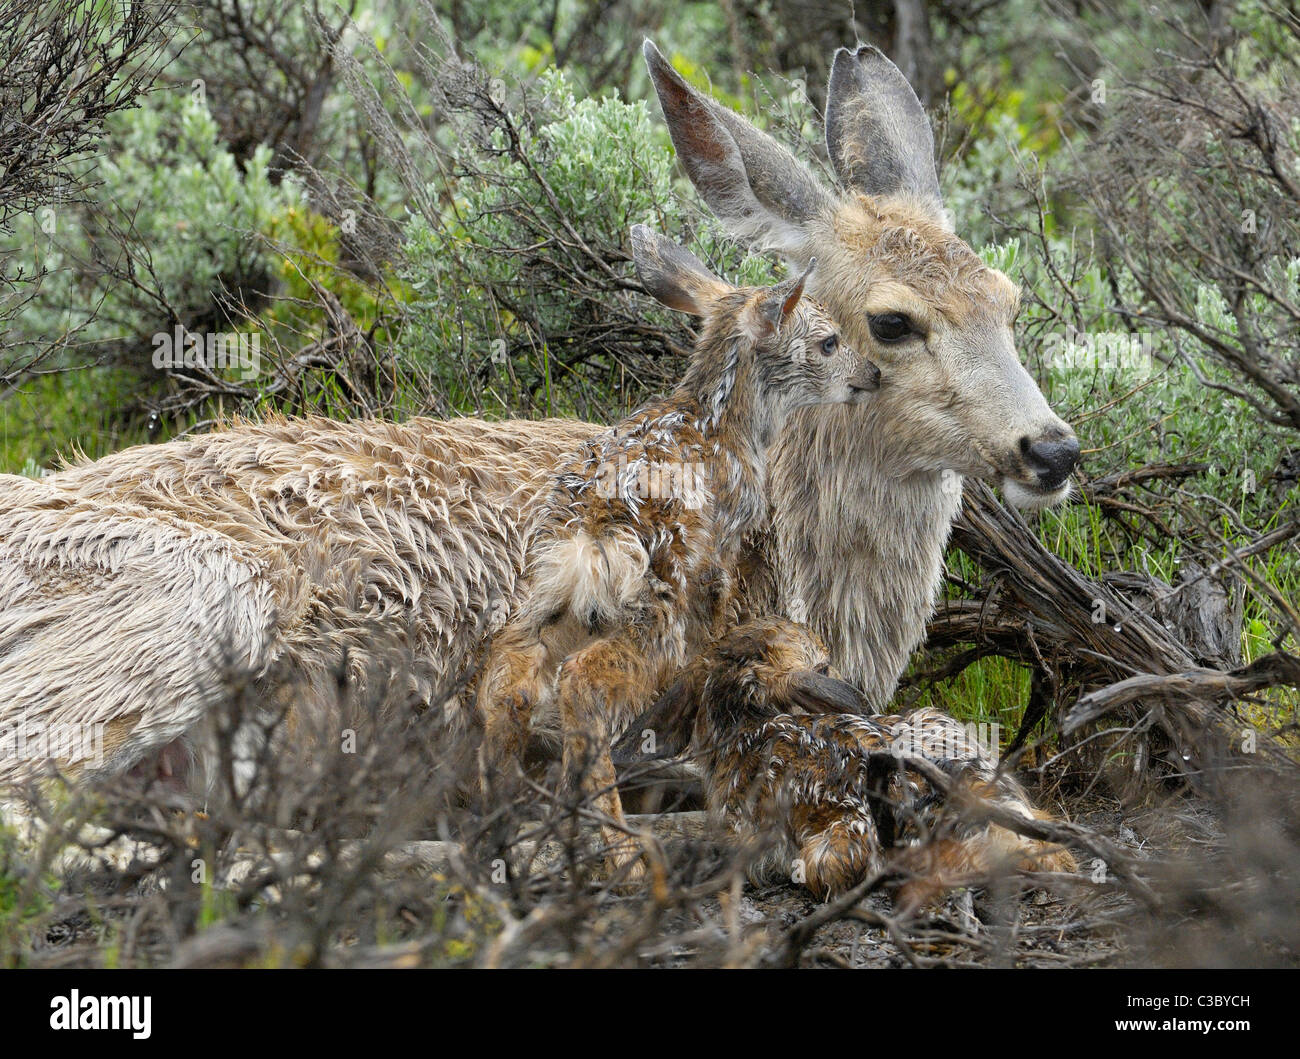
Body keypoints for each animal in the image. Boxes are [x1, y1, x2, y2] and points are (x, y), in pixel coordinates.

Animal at [475, 225, 879, 867]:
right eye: (828, 341)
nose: (872, 374)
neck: (730, 426)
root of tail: (587, 535)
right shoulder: (723, 552)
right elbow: (718, 628)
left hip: (539, 600)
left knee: (507, 680)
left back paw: (498, 826)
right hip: (656, 606)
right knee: (583, 683)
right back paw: (620, 849)